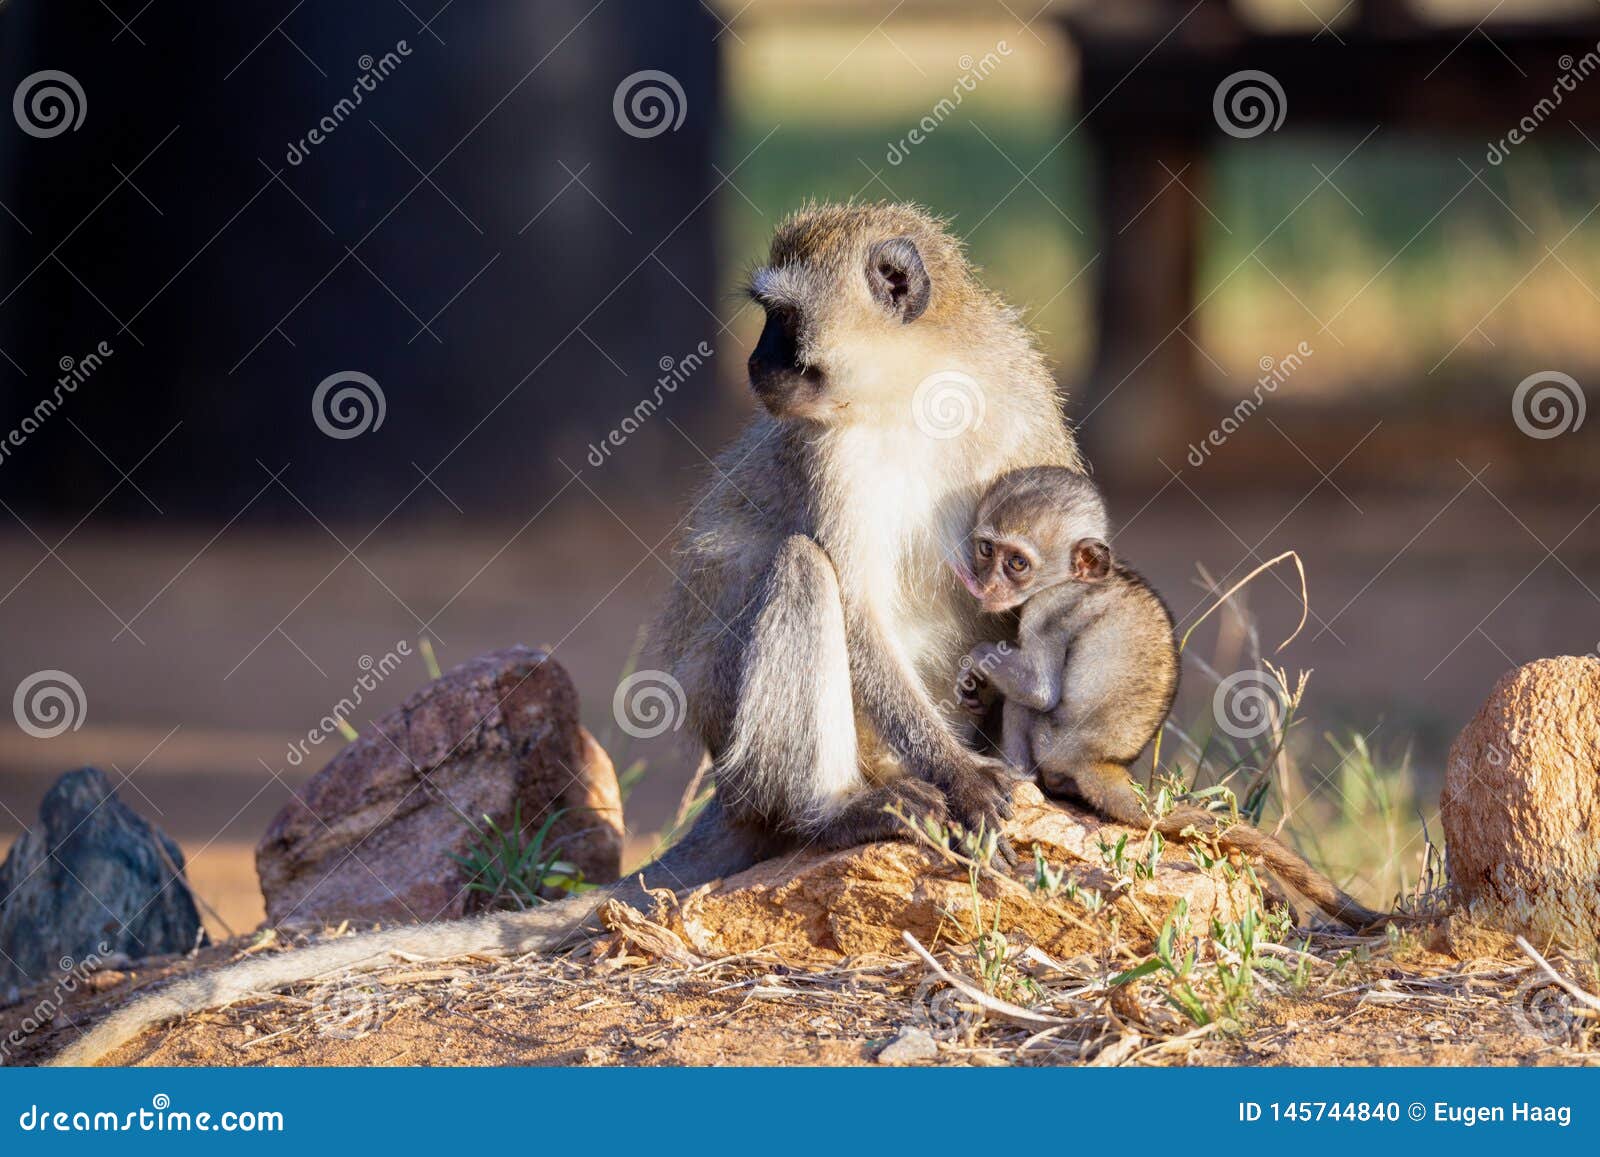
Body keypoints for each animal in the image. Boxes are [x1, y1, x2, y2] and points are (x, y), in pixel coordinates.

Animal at [49, 202, 1083, 1065]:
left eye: (783, 320)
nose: (754, 364)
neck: (918, 386)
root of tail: (736, 778)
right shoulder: (830, 448)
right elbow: (852, 597)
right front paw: (963, 778)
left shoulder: (1016, 400)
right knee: (802, 567)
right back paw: (832, 811)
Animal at [950, 466, 1395, 931]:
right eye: (986, 550)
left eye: (1017, 563)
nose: (987, 585)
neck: (1079, 579)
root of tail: (1099, 763)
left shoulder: (1048, 609)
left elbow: (1039, 688)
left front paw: (978, 663)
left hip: (1051, 742)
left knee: (1027, 707)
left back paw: (1019, 773)